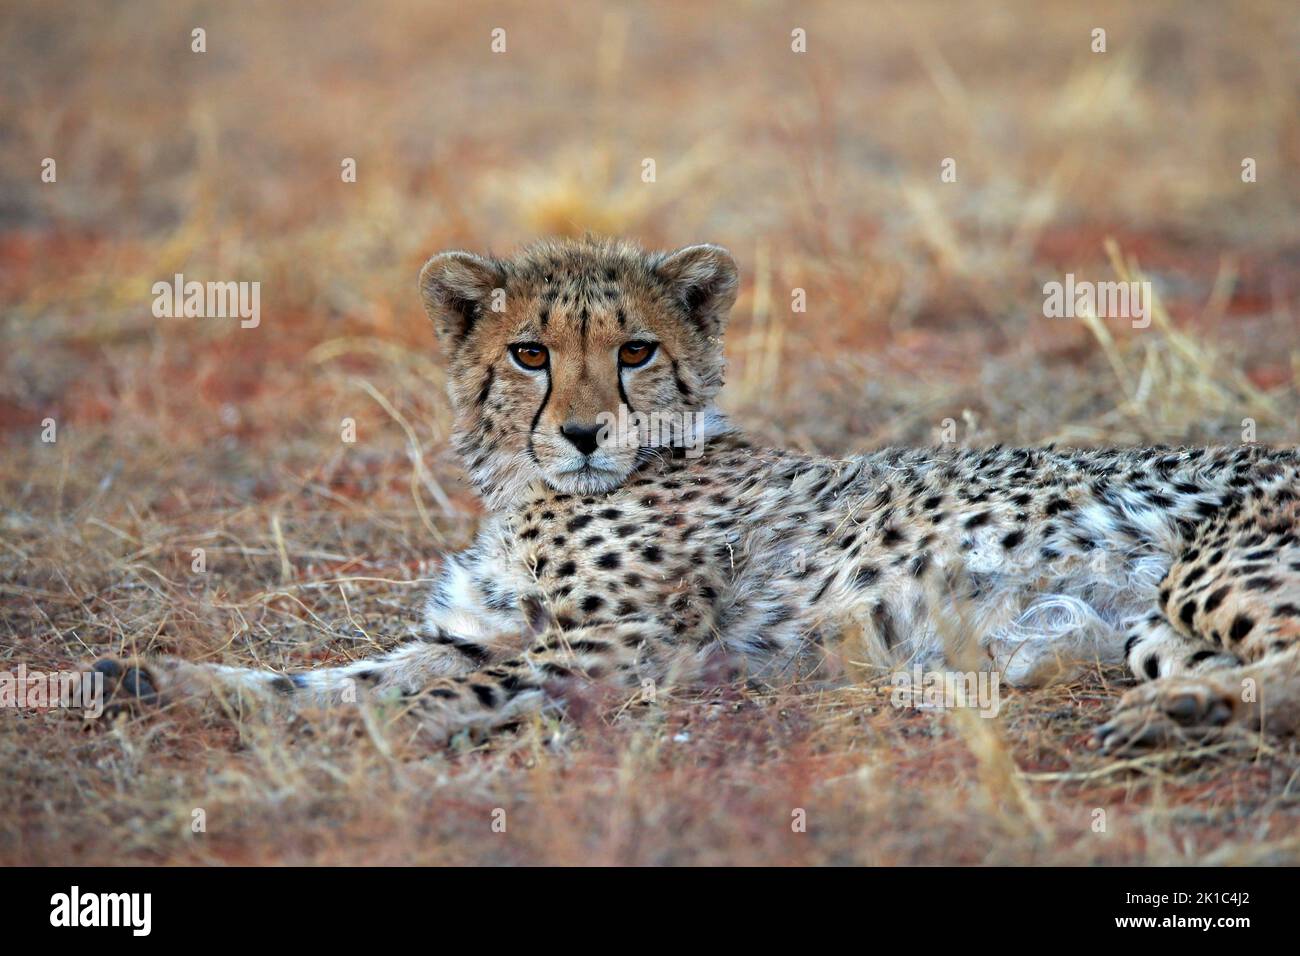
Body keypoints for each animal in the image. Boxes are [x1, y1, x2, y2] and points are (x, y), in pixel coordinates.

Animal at [95, 235, 1300, 755]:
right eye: (529, 353)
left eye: (634, 350)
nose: (585, 430)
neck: (532, 490)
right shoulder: (475, 637)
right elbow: (318, 678)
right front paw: (148, 677)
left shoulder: (612, 652)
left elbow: (407, 699)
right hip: (1148, 627)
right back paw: (1180, 711)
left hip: (1206, 569)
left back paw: (1170, 715)